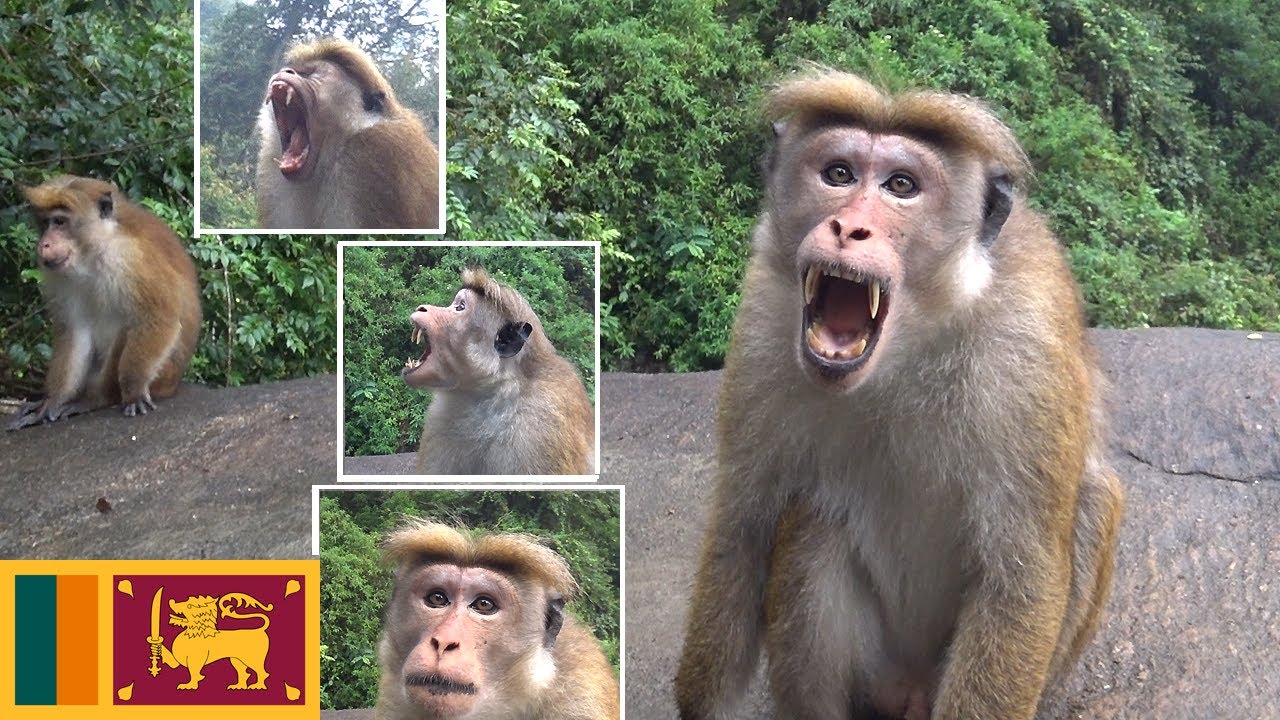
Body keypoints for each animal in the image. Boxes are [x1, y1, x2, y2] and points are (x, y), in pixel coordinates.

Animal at [9, 175, 202, 431]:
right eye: (45, 223)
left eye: (59, 222)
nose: (44, 244)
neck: (94, 251)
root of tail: (176, 383)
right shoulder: (60, 275)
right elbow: (76, 330)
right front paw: (53, 401)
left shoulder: (132, 259)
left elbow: (159, 318)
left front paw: (133, 391)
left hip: (164, 376)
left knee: (125, 328)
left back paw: (97, 399)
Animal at [674, 70, 1124, 720]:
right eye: (838, 174)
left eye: (901, 186)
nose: (848, 228)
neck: (906, 349)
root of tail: (907, 687)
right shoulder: (763, 315)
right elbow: (742, 526)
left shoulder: (1027, 348)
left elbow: (1021, 576)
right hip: (876, 670)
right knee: (811, 518)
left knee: (1093, 499)